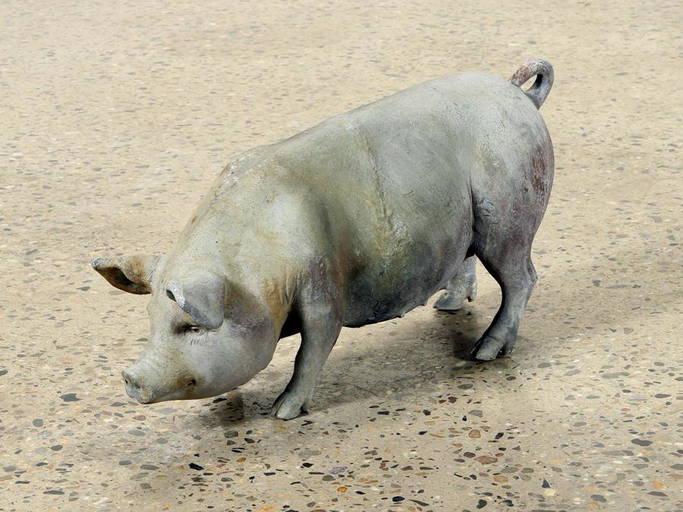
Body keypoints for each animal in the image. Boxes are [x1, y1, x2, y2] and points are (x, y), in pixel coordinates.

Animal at [92, 59, 554, 419]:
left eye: (189, 326)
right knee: (469, 262)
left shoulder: (322, 288)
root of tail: (516, 94)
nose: (130, 377)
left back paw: (484, 352)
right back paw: (447, 306)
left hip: (509, 215)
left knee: (523, 279)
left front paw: (282, 411)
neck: (260, 277)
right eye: (152, 321)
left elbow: (311, 350)